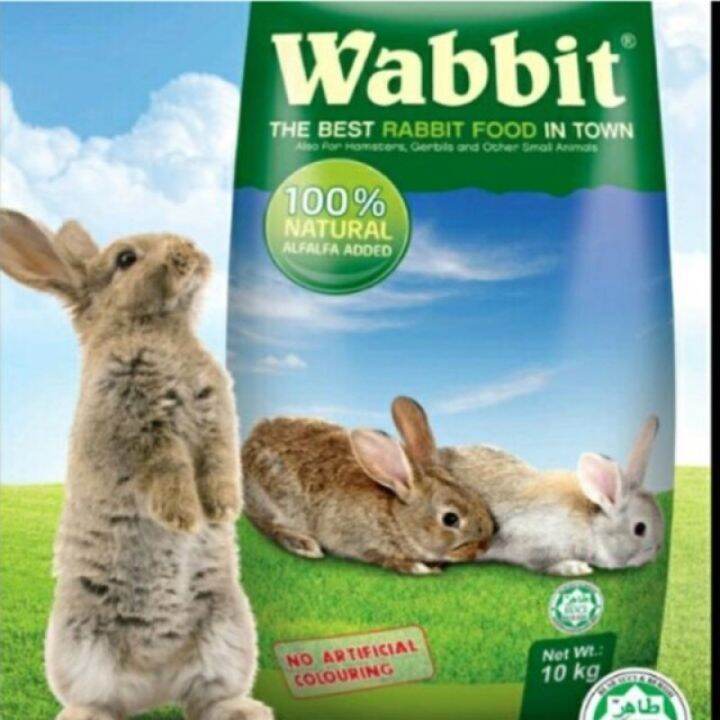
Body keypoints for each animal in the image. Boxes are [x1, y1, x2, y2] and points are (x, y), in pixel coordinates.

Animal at [0, 210, 272, 720]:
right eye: (126, 259)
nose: (189, 248)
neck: (154, 326)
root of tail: (155, 682)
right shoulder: (136, 426)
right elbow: (167, 467)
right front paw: (185, 517)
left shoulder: (216, 419)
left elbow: (218, 462)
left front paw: (223, 509)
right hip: (81, 649)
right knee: (101, 702)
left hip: (228, 635)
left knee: (205, 697)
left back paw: (245, 711)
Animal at [241, 396, 495, 575]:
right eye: (450, 519)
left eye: (476, 497)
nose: (483, 547)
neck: (395, 516)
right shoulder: (362, 542)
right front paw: (420, 568)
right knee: (268, 526)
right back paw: (302, 544)